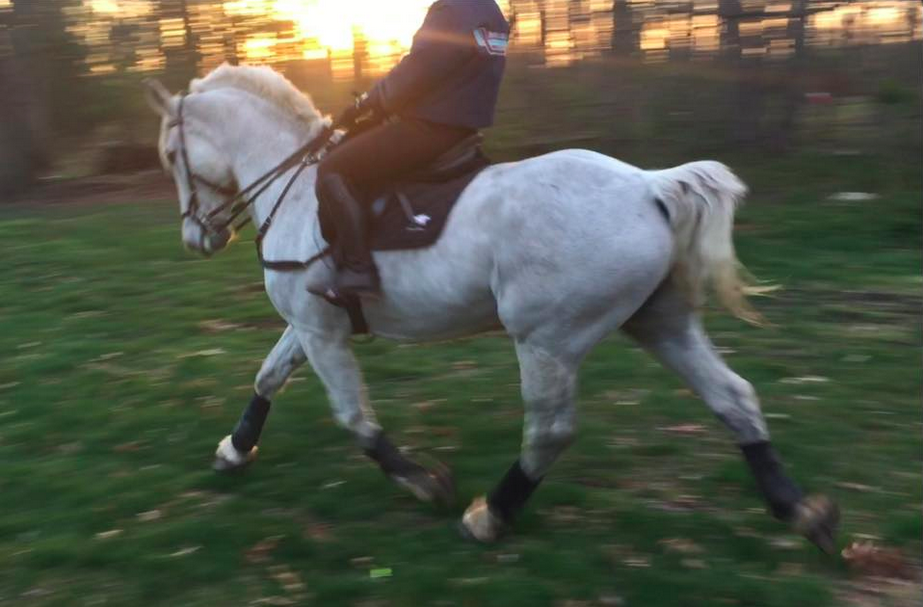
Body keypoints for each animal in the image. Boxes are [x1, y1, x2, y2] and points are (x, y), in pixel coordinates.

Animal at [143, 64, 838, 550]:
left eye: (172, 156)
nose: (198, 238)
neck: (294, 189)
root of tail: (650, 186)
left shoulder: (321, 331)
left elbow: (354, 418)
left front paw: (423, 482)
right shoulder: (308, 323)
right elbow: (267, 378)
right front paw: (235, 450)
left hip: (547, 341)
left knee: (551, 431)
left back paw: (491, 516)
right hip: (659, 324)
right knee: (734, 397)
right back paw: (799, 511)